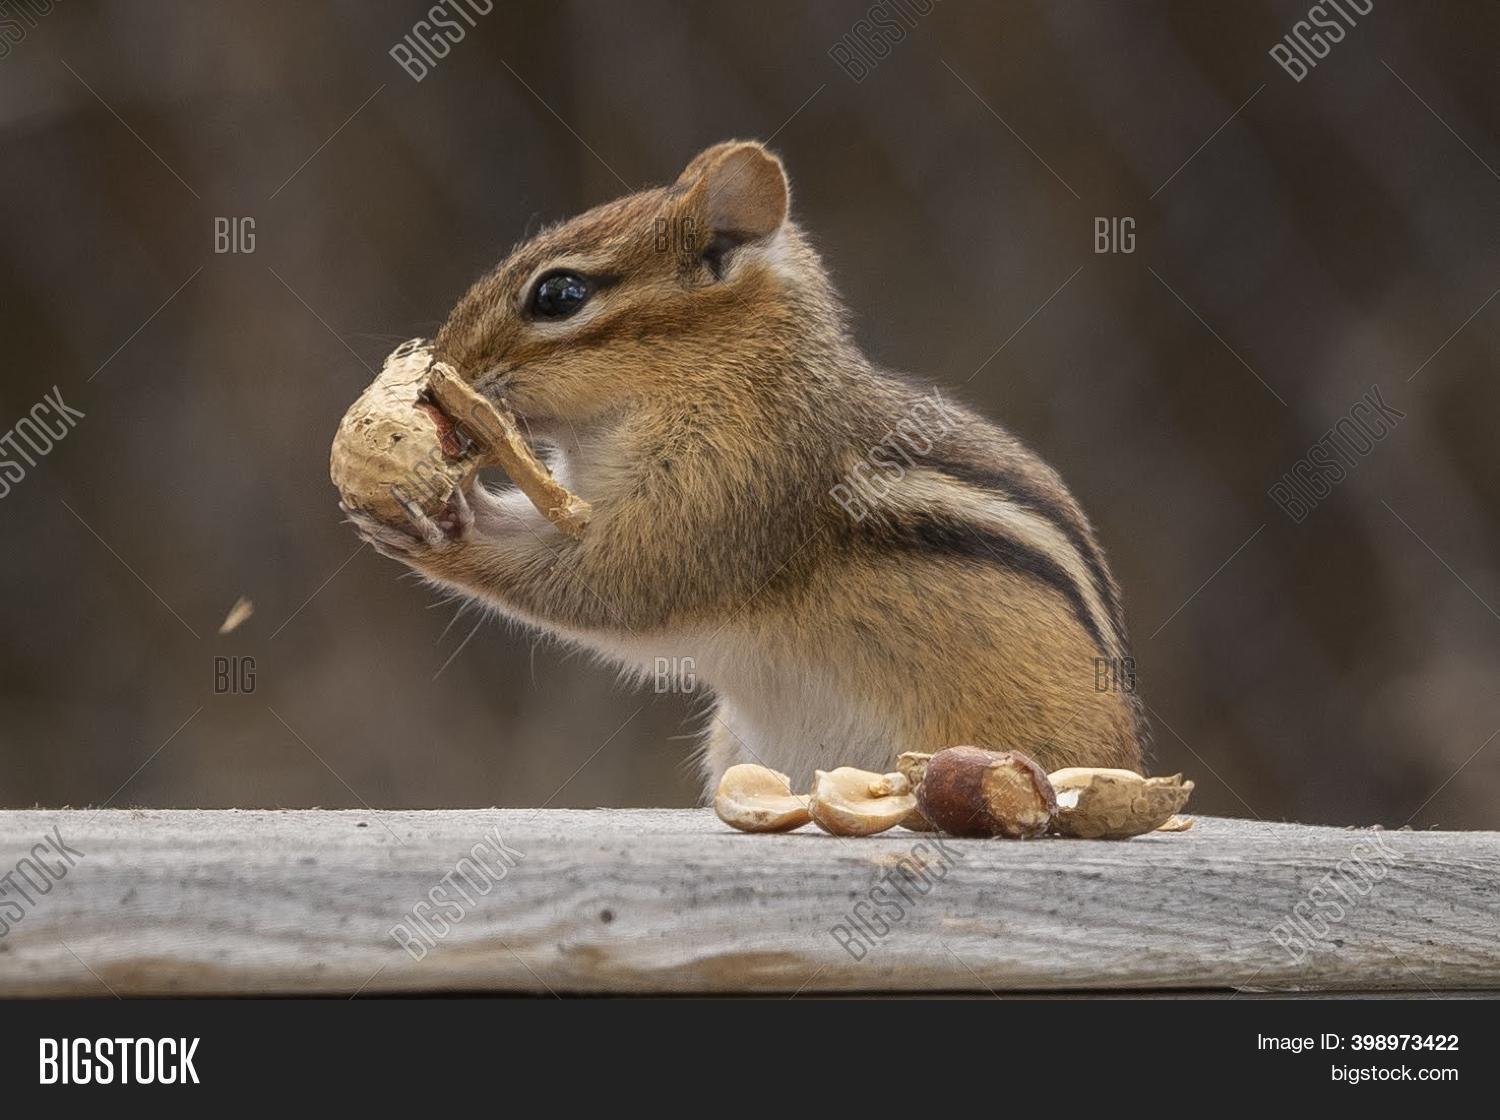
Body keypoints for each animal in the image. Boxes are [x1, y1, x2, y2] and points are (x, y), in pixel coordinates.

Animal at [344, 140, 1147, 799]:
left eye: (559, 294)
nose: (436, 376)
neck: (724, 374)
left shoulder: (729, 492)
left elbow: (615, 583)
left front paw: (446, 531)